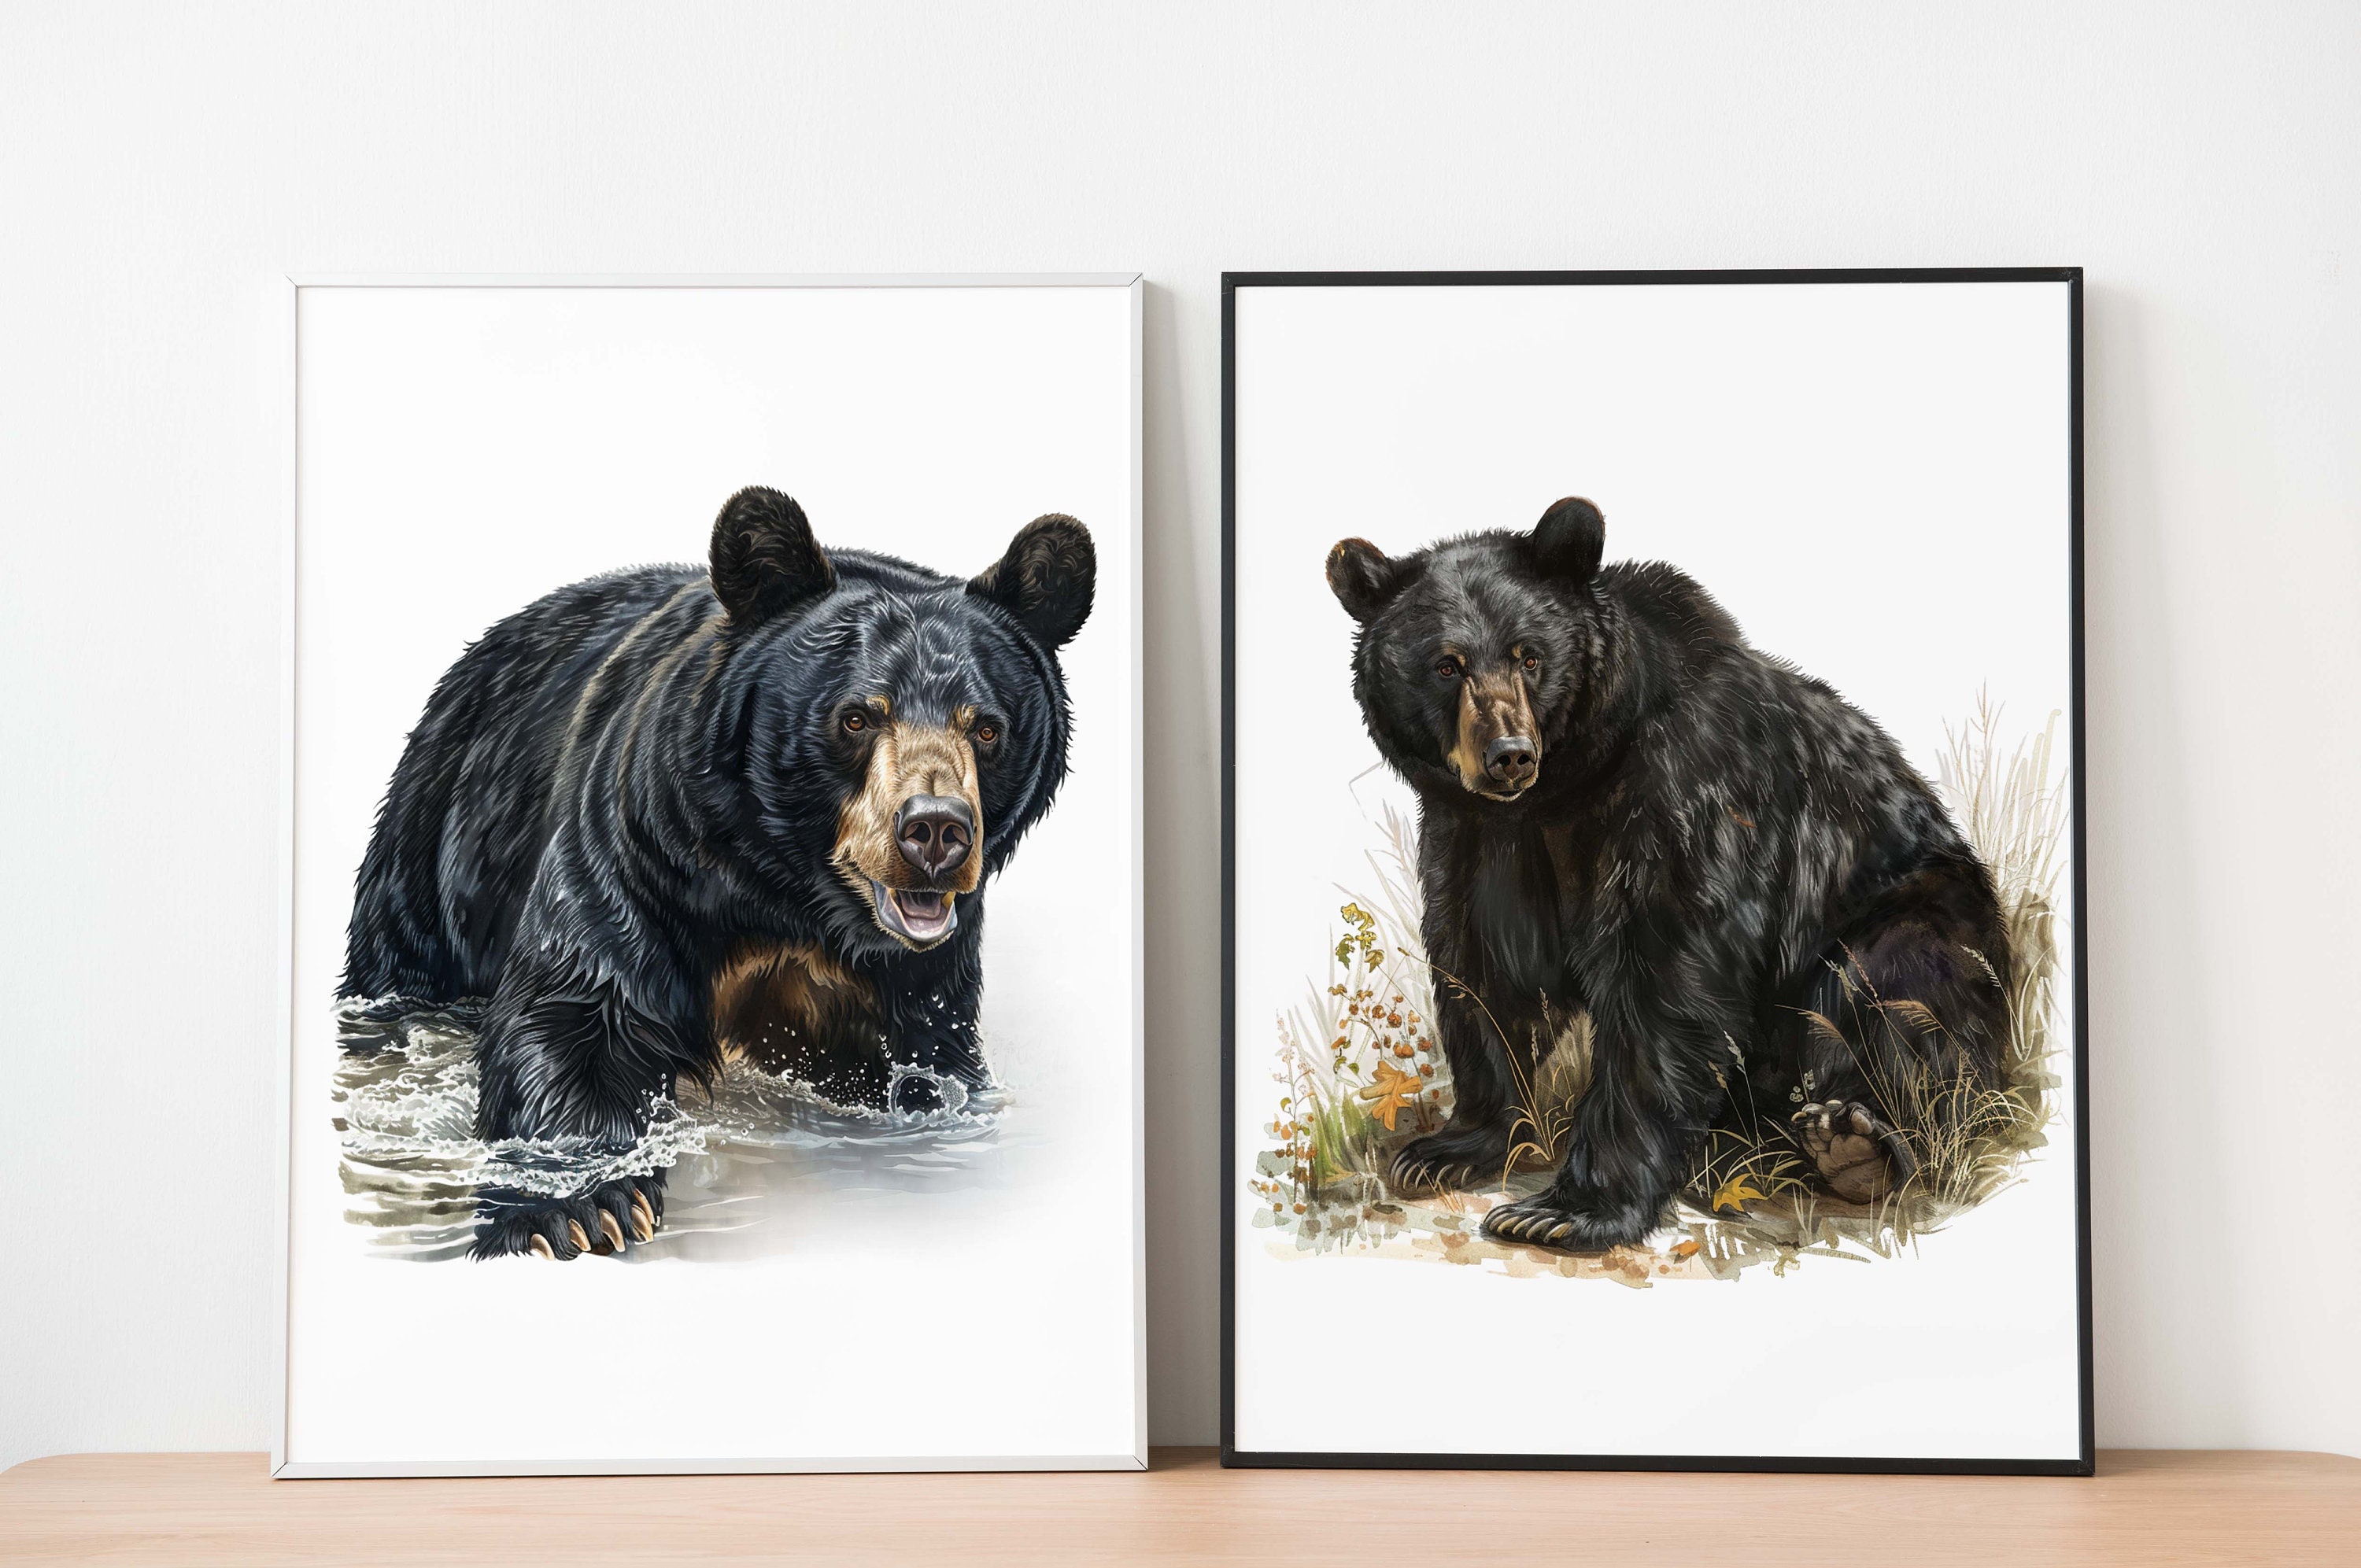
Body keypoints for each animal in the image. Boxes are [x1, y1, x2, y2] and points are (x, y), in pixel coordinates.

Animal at [339, 486, 1095, 1259]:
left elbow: (929, 1058)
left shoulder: (920, 967)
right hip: (440, 850)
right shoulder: (644, 853)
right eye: (856, 717)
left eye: (986, 727)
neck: (788, 893)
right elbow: (576, 1011)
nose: (936, 831)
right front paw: (580, 1206)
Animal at [1325, 496, 2013, 1251]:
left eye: (1529, 655)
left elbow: (1664, 976)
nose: (1509, 753)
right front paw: (1452, 1144)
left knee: (1900, 1000)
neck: (1575, 775)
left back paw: (1857, 1143)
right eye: (1447, 665)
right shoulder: (1482, 837)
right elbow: (1484, 970)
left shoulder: (1687, 788)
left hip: (1914, 917)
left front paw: (1562, 1208)